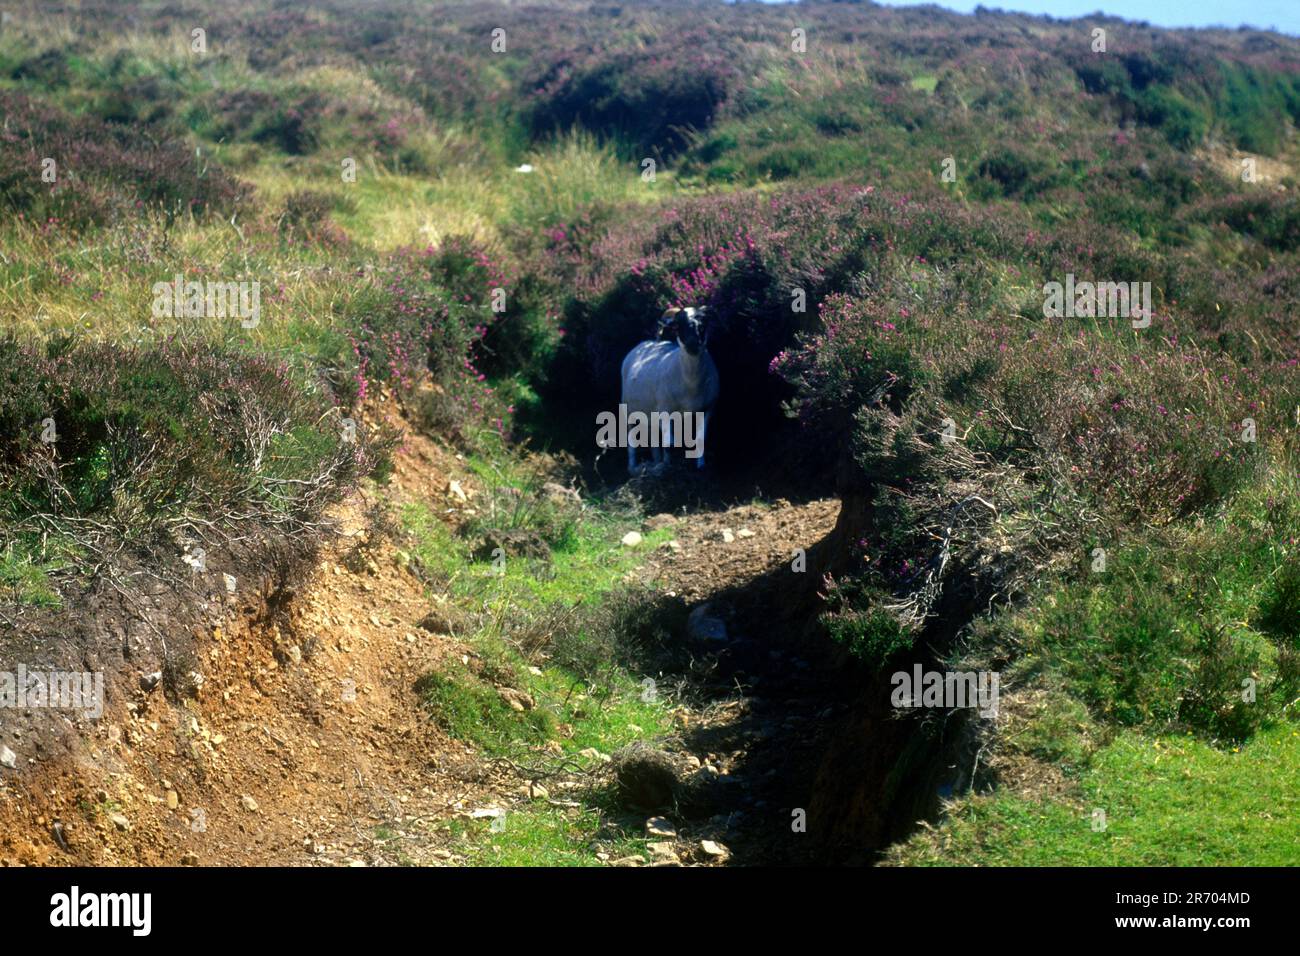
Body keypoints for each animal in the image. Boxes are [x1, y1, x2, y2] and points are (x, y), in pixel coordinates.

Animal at [620, 306, 720, 472]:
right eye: (678, 325)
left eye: (703, 321)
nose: (692, 343)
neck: (691, 383)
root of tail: (645, 343)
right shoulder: (665, 410)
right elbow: (669, 444)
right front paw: (668, 467)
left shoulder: (708, 409)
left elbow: (701, 439)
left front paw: (701, 466)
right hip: (629, 411)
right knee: (631, 439)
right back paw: (633, 467)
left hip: (651, 414)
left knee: (653, 439)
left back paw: (656, 462)